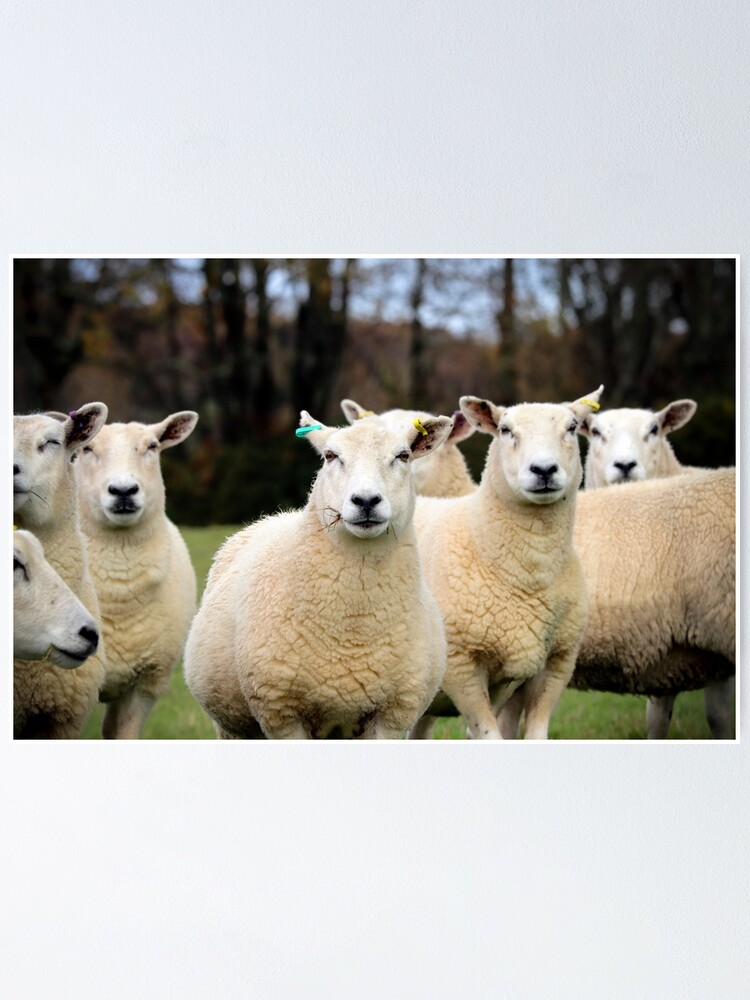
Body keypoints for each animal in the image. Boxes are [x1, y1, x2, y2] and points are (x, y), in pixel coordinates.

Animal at [184, 409, 454, 739]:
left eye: (403, 456)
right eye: (330, 456)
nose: (366, 501)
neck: (356, 620)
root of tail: (275, 516)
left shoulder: (393, 714)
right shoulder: (281, 712)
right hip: (233, 726)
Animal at [410, 386, 604, 740]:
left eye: (571, 428)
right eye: (505, 430)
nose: (544, 470)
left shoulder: (557, 661)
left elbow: (536, 734)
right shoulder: (462, 665)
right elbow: (490, 735)